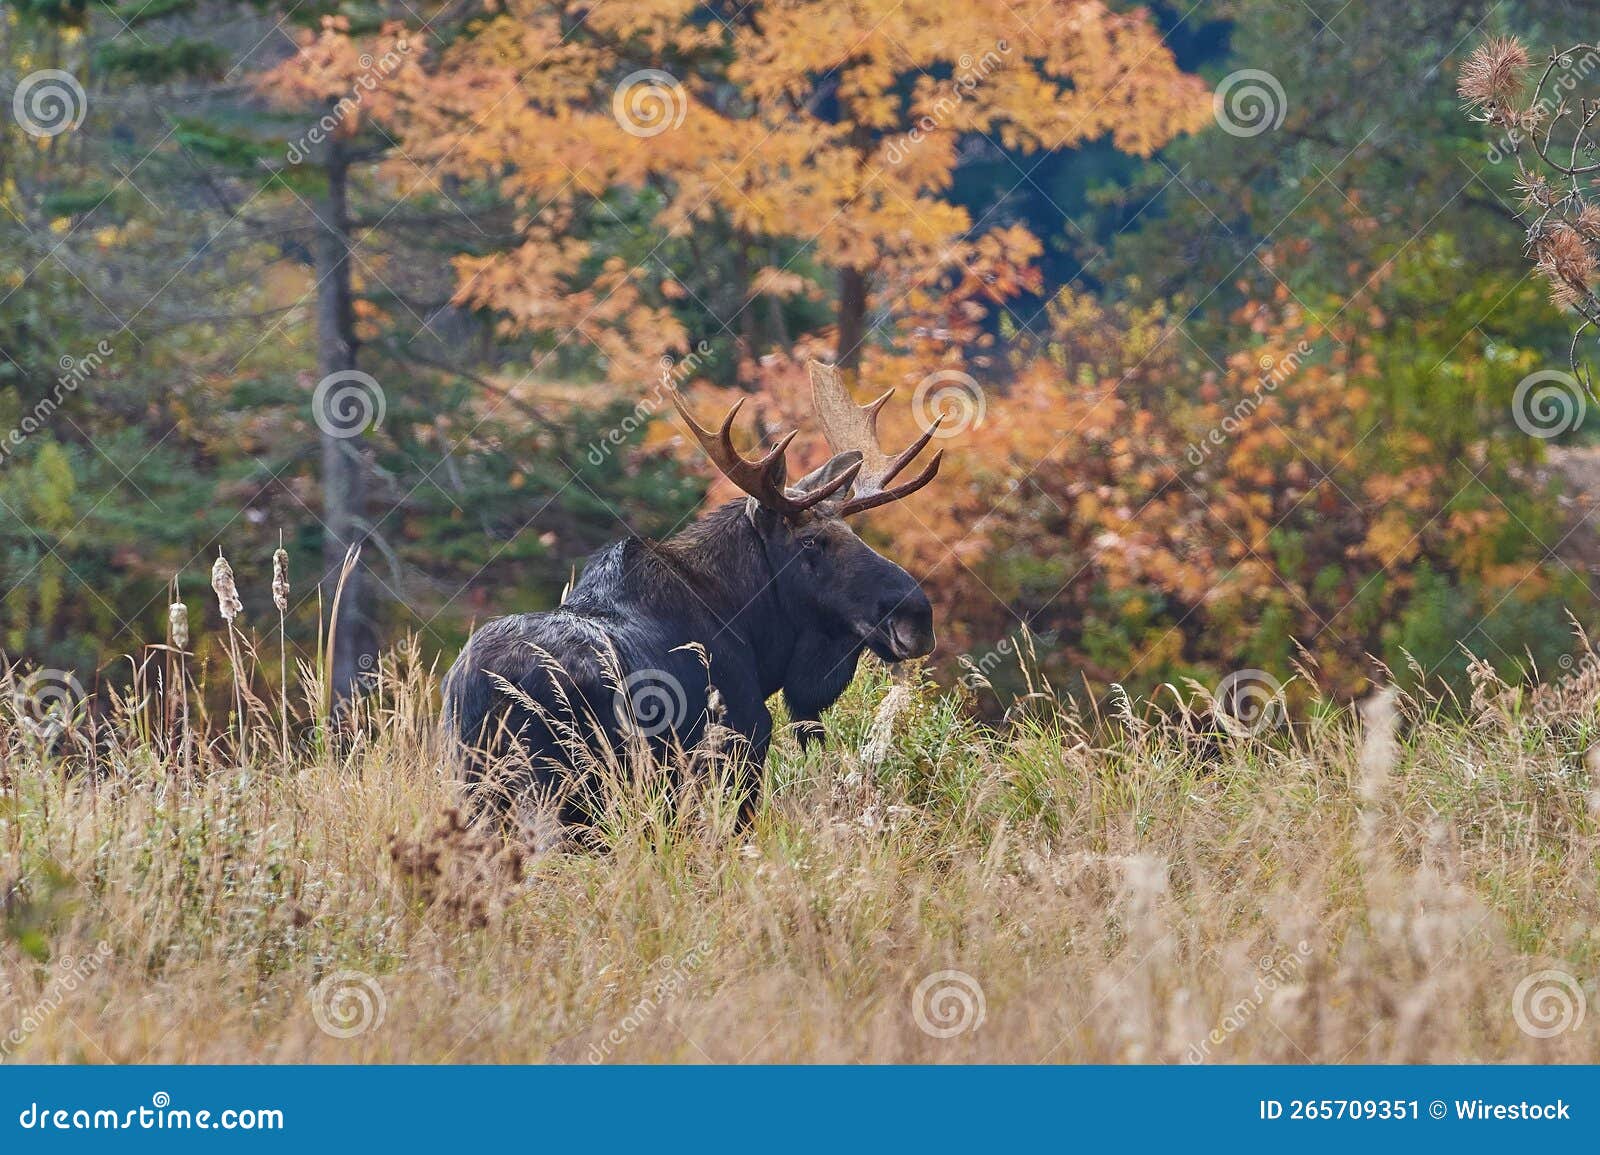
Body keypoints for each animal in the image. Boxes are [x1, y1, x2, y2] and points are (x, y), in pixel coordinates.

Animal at [441, 360, 945, 836]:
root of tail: (481, 690)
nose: (917, 617)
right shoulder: (740, 744)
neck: (757, 641)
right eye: (811, 543)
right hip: (557, 788)